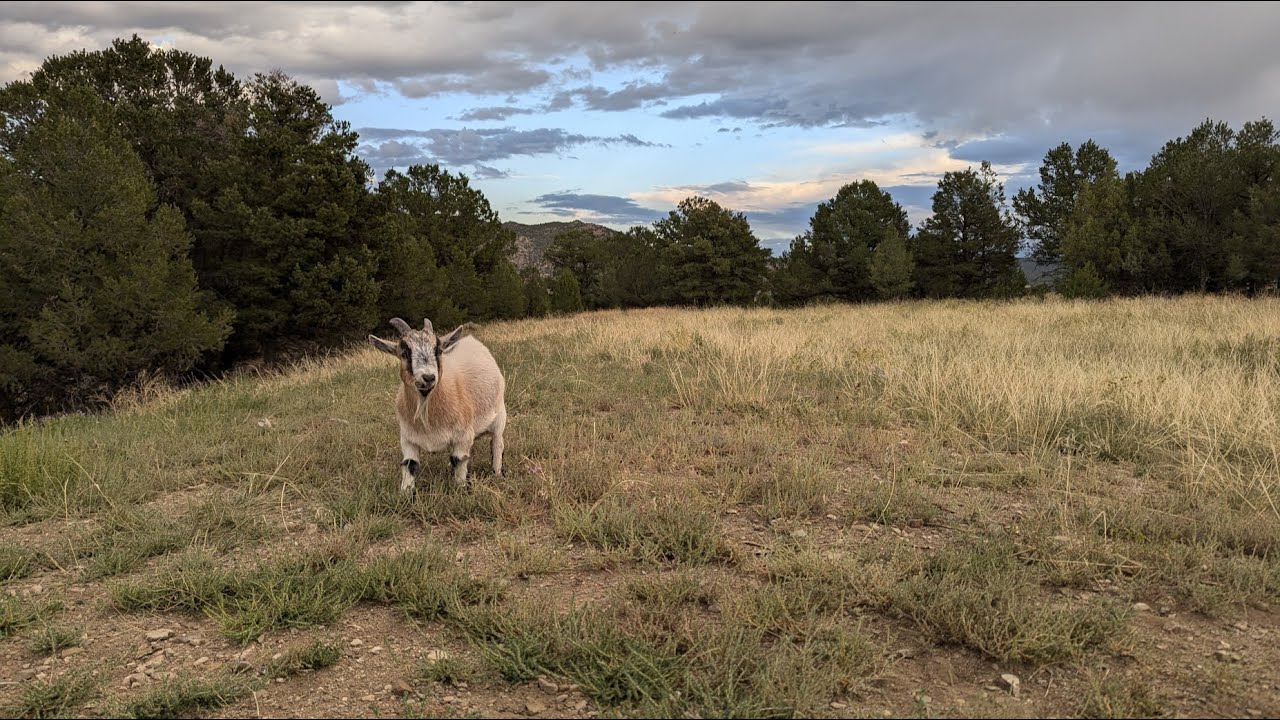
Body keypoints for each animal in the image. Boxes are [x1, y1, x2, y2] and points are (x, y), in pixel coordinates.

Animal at [369, 317, 506, 493]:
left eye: (438, 351)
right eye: (404, 354)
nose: (428, 377)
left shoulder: (464, 435)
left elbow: (459, 459)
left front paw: (460, 488)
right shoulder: (407, 438)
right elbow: (409, 464)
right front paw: (405, 492)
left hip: (499, 415)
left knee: (497, 444)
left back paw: (497, 472)